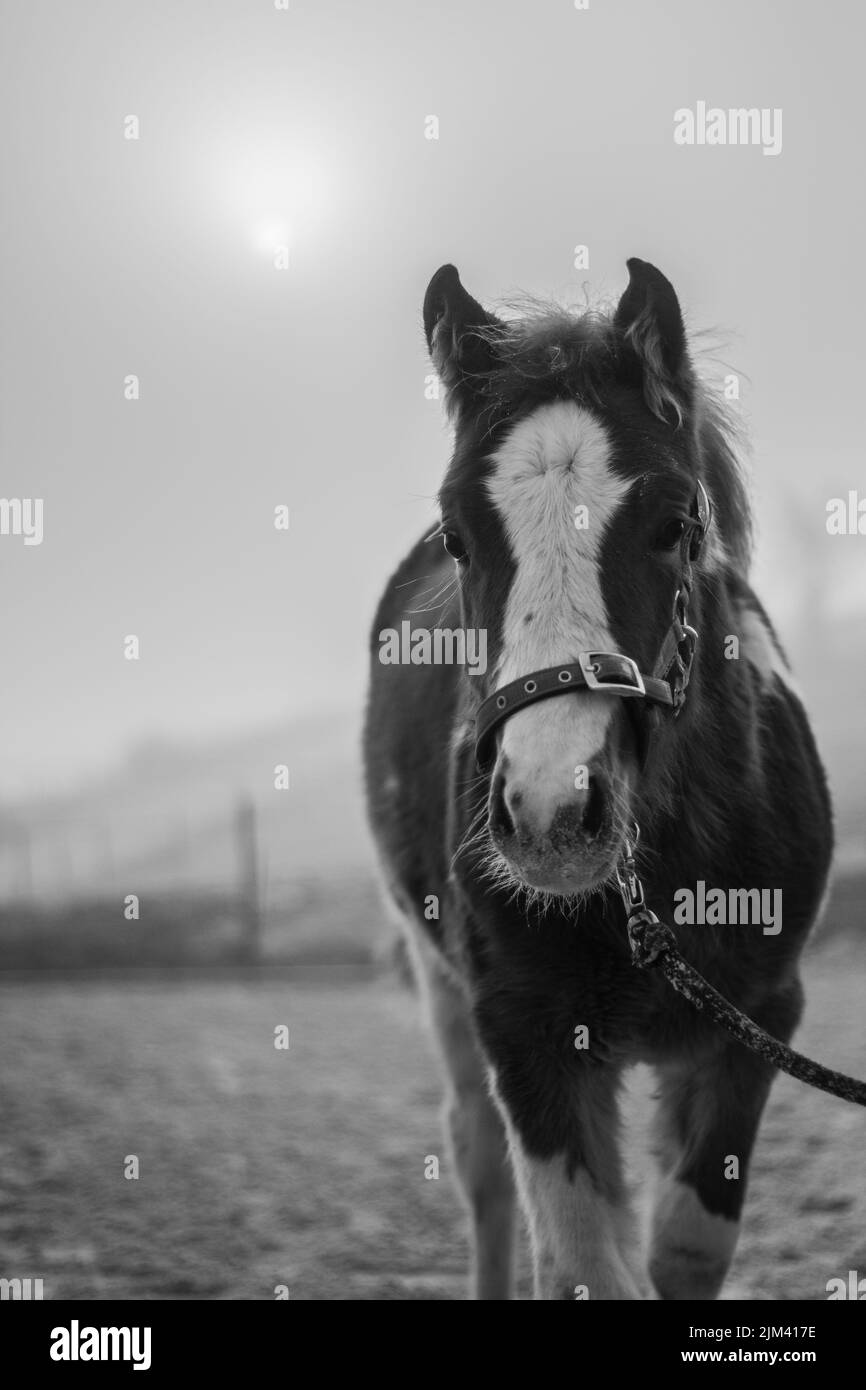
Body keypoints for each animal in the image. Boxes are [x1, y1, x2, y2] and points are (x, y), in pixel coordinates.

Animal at [362, 259, 833, 1300]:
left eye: (675, 523)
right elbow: (582, 1266)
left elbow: (684, 1250)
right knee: (481, 1165)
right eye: (457, 536)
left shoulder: (756, 1025)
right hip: (440, 981)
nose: (550, 810)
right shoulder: (527, 1035)